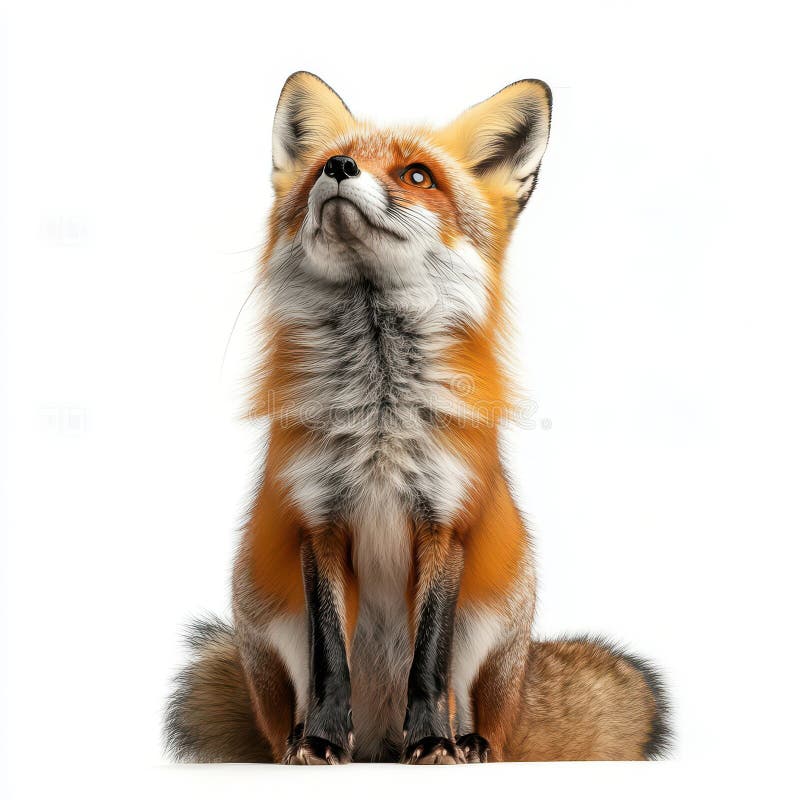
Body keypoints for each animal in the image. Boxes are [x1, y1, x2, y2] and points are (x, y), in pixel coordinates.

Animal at [164, 72, 671, 764]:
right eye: (326, 163)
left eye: (418, 175)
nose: (338, 168)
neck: (381, 413)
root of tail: (378, 737)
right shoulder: (318, 520)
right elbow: (329, 658)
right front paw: (321, 739)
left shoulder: (445, 519)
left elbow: (430, 660)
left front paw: (432, 741)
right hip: (262, 613)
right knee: (286, 713)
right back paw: (306, 738)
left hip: (497, 620)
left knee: (482, 714)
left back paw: (465, 741)